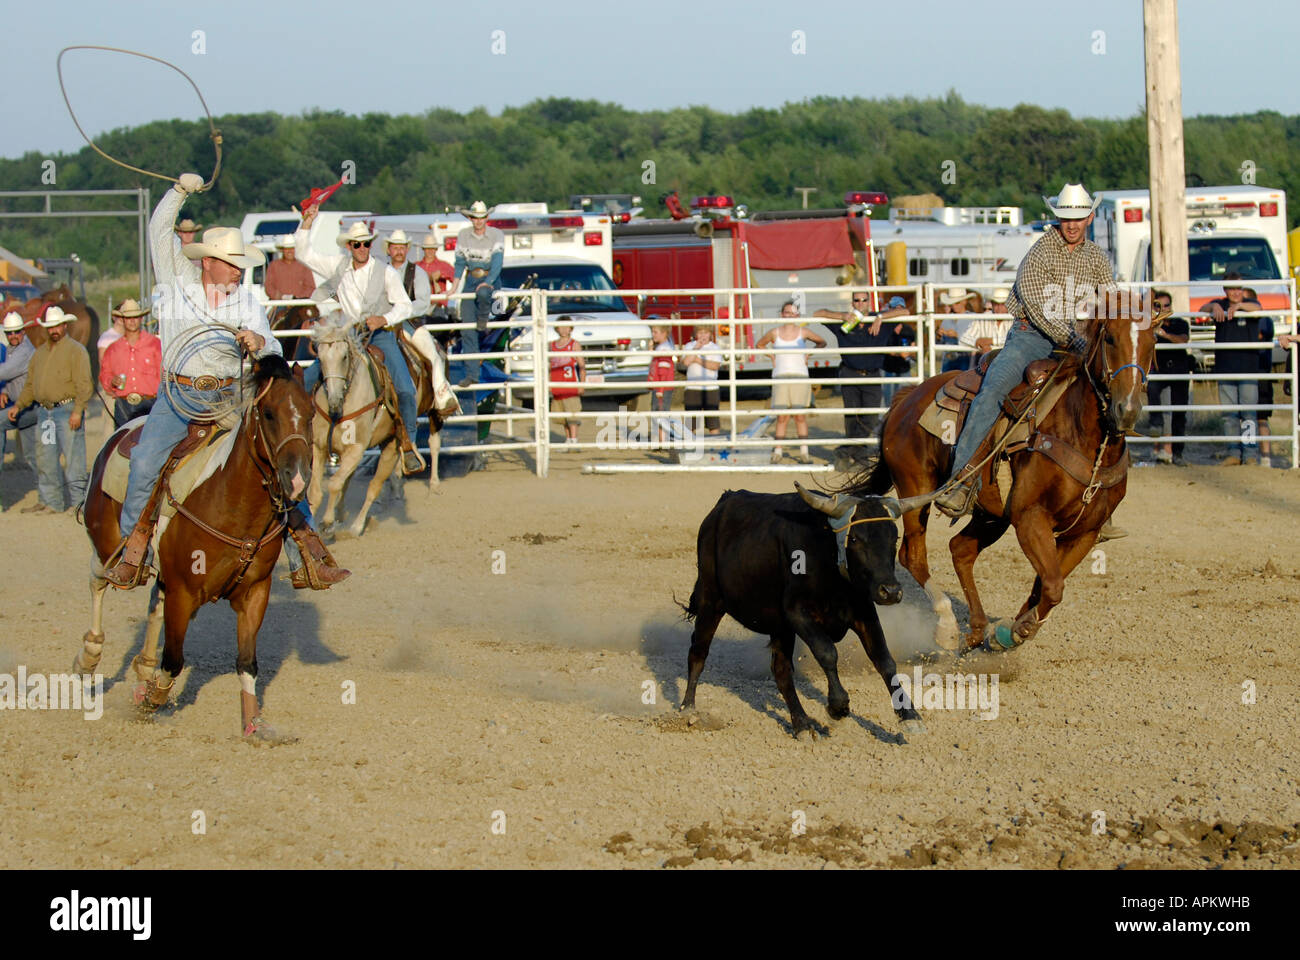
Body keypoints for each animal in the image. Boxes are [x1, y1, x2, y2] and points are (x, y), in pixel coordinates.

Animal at [681, 482, 925, 739]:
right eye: (855, 538)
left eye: (894, 538)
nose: (891, 591)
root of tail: (722, 505)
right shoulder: (796, 613)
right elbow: (827, 652)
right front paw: (838, 705)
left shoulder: (863, 611)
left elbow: (884, 659)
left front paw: (909, 716)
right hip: (711, 601)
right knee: (698, 652)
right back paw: (688, 708)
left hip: (778, 627)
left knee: (781, 671)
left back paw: (802, 724)